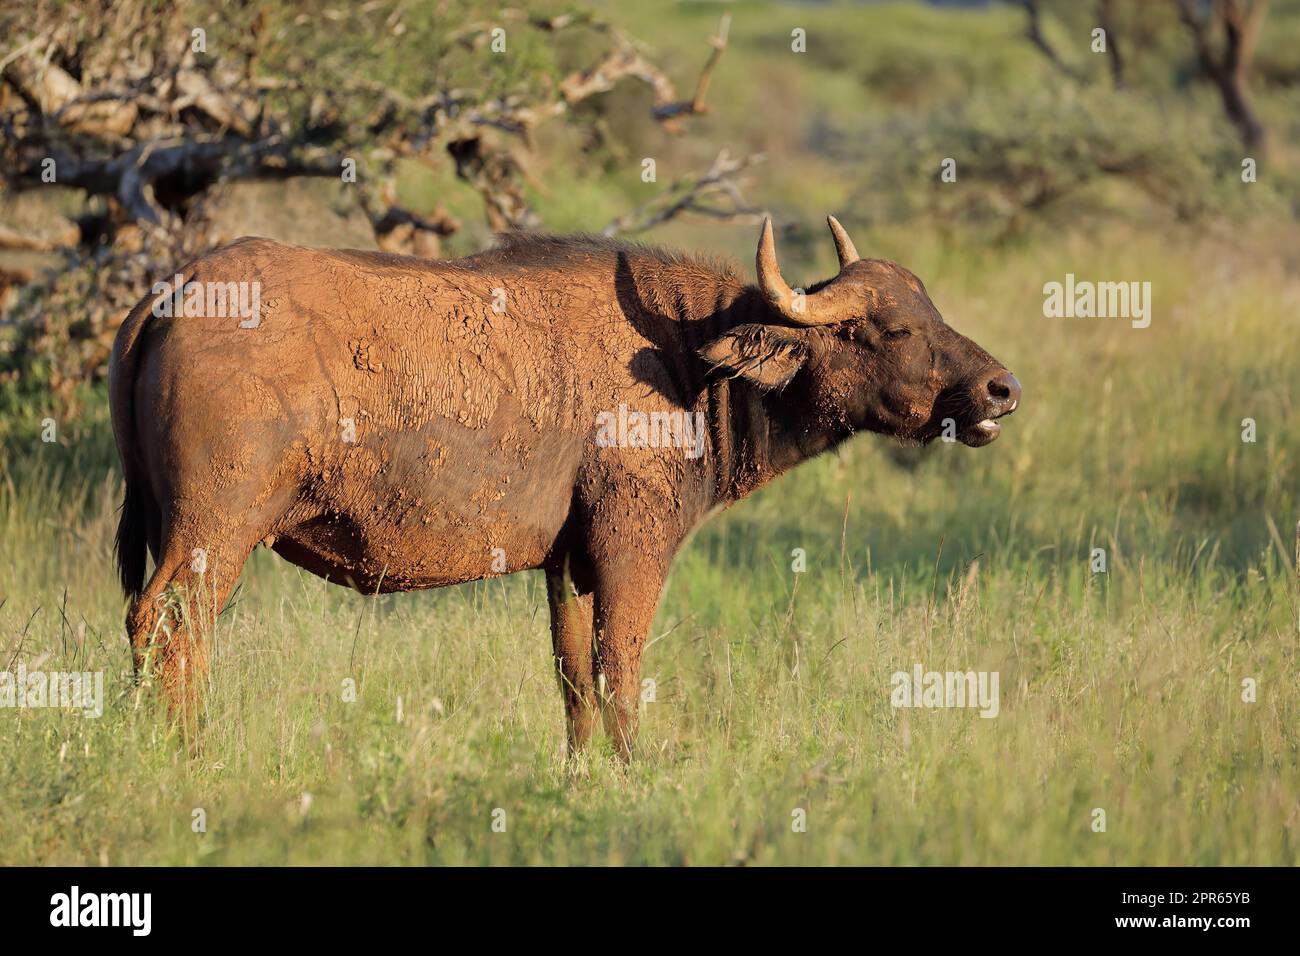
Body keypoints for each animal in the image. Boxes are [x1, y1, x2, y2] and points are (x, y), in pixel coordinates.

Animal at [110, 216, 1019, 757]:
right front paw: (633, 770)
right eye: (893, 329)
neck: (687, 362)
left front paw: (587, 773)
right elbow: (622, 665)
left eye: (933, 310)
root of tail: (175, 291)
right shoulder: (631, 550)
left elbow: (575, 675)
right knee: (172, 627)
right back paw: (187, 755)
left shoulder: (568, 566)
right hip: (213, 535)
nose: (1000, 388)